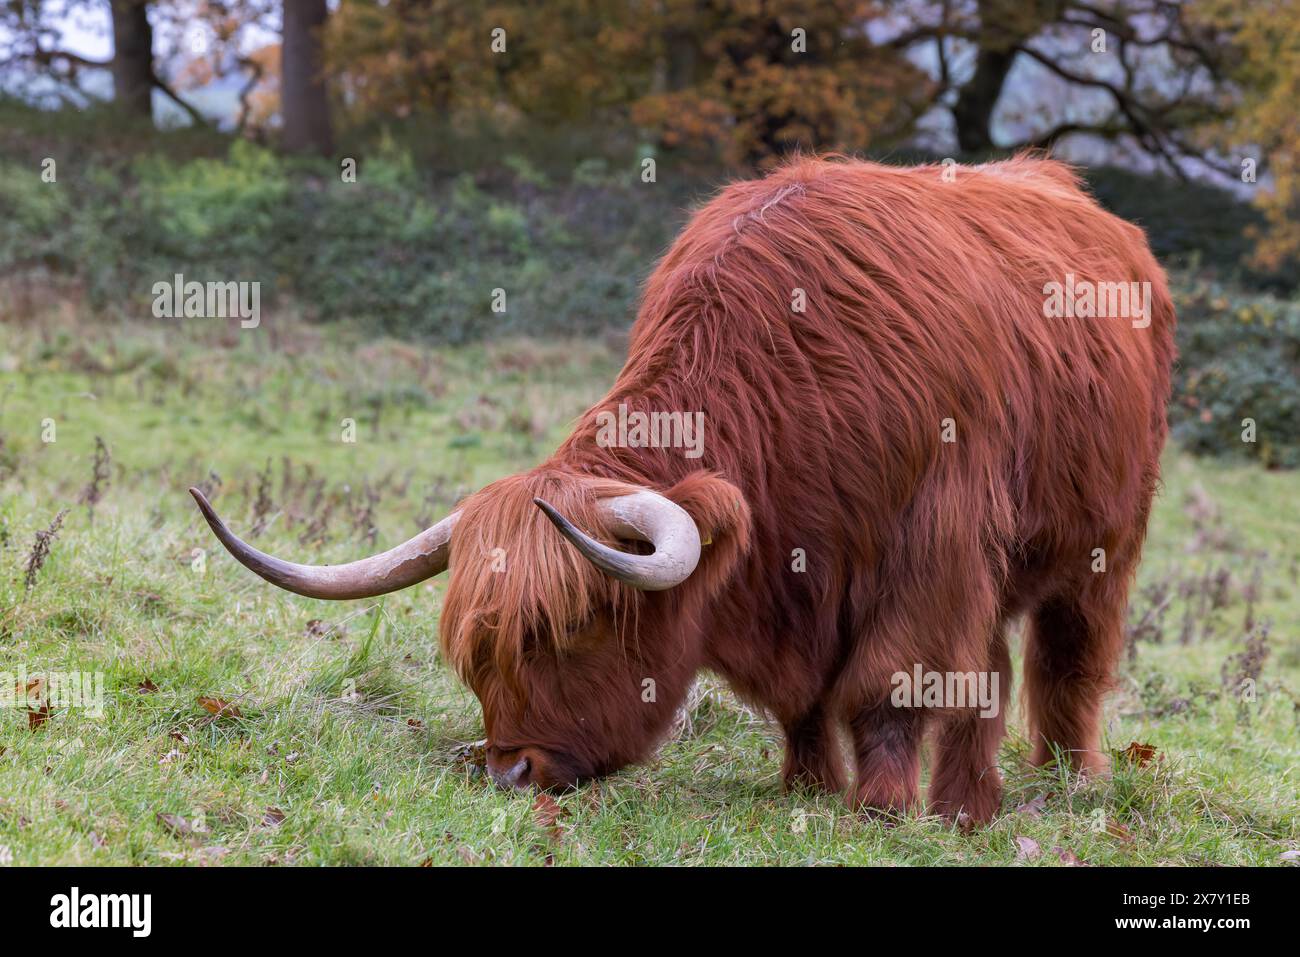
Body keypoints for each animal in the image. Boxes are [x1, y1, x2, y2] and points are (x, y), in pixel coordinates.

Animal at [191, 154, 1175, 823]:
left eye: (572, 628)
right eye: (477, 650)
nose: (508, 771)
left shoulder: (934, 548)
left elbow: (891, 681)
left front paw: (881, 806)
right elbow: (811, 699)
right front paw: (805, 786)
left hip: (1105, 544)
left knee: (1066, 659)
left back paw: (1061, 779)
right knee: (992, 673)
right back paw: (971, 805)